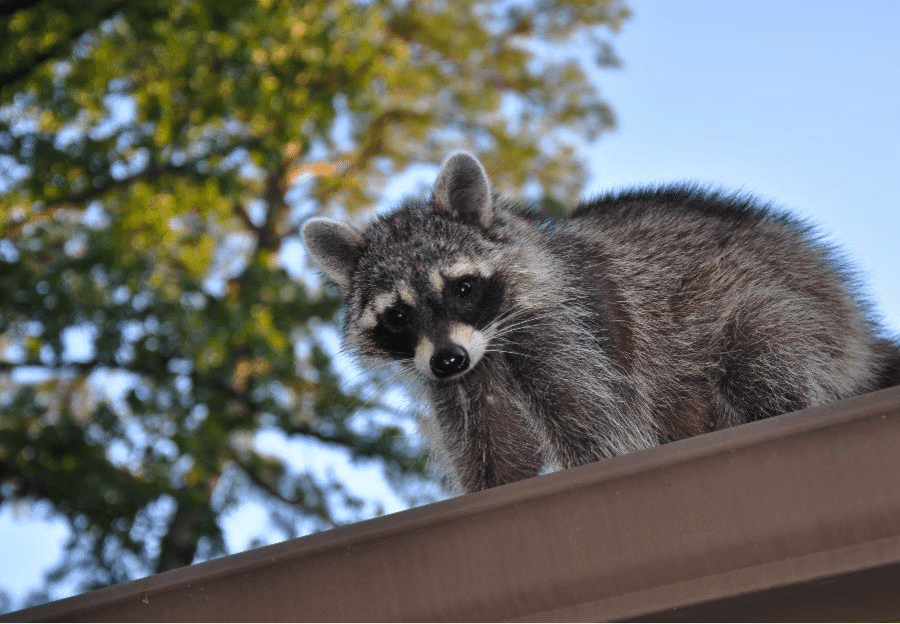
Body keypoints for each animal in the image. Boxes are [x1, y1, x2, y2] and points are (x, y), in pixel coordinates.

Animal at [302, 152, 900, 493]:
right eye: (398, 314)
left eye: (462, 288)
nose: (448, 359)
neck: (490, 342)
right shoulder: (463, 384)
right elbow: (496, 459)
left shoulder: (571, 332)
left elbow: (600, 432)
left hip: (799, 312)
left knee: (762, 347)